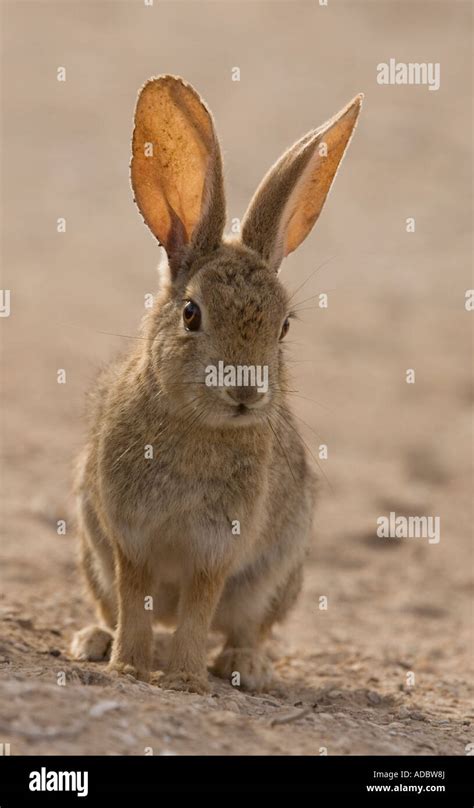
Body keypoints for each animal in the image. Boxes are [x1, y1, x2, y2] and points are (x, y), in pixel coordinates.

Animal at [71, 75, 363, 693]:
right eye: (191, 314)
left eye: (283, 327)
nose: (245, 393)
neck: (195, 426)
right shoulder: (129, 537)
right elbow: (135, 597)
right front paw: (130, 665)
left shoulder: (217, 546)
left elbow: (201, 605)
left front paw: (182, 679)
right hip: (91, 554)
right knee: (117, 606)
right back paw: (96, 641)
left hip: (272, 577)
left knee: (242, 626)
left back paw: (246, 666)